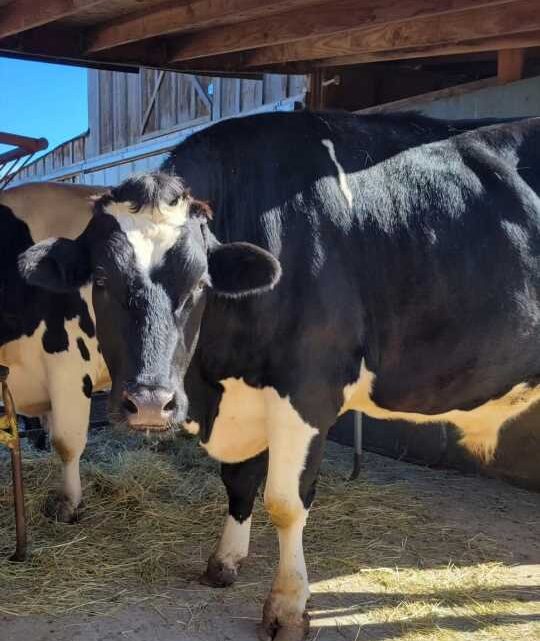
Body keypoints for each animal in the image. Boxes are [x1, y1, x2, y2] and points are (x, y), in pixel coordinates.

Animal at [14, 111, 540, 640]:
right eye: (101, 280)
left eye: (200, 283)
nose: (148, 404)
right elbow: (238, 481)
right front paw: (225, 562)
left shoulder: (308, 392)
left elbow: (285, 503)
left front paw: (287, 608)